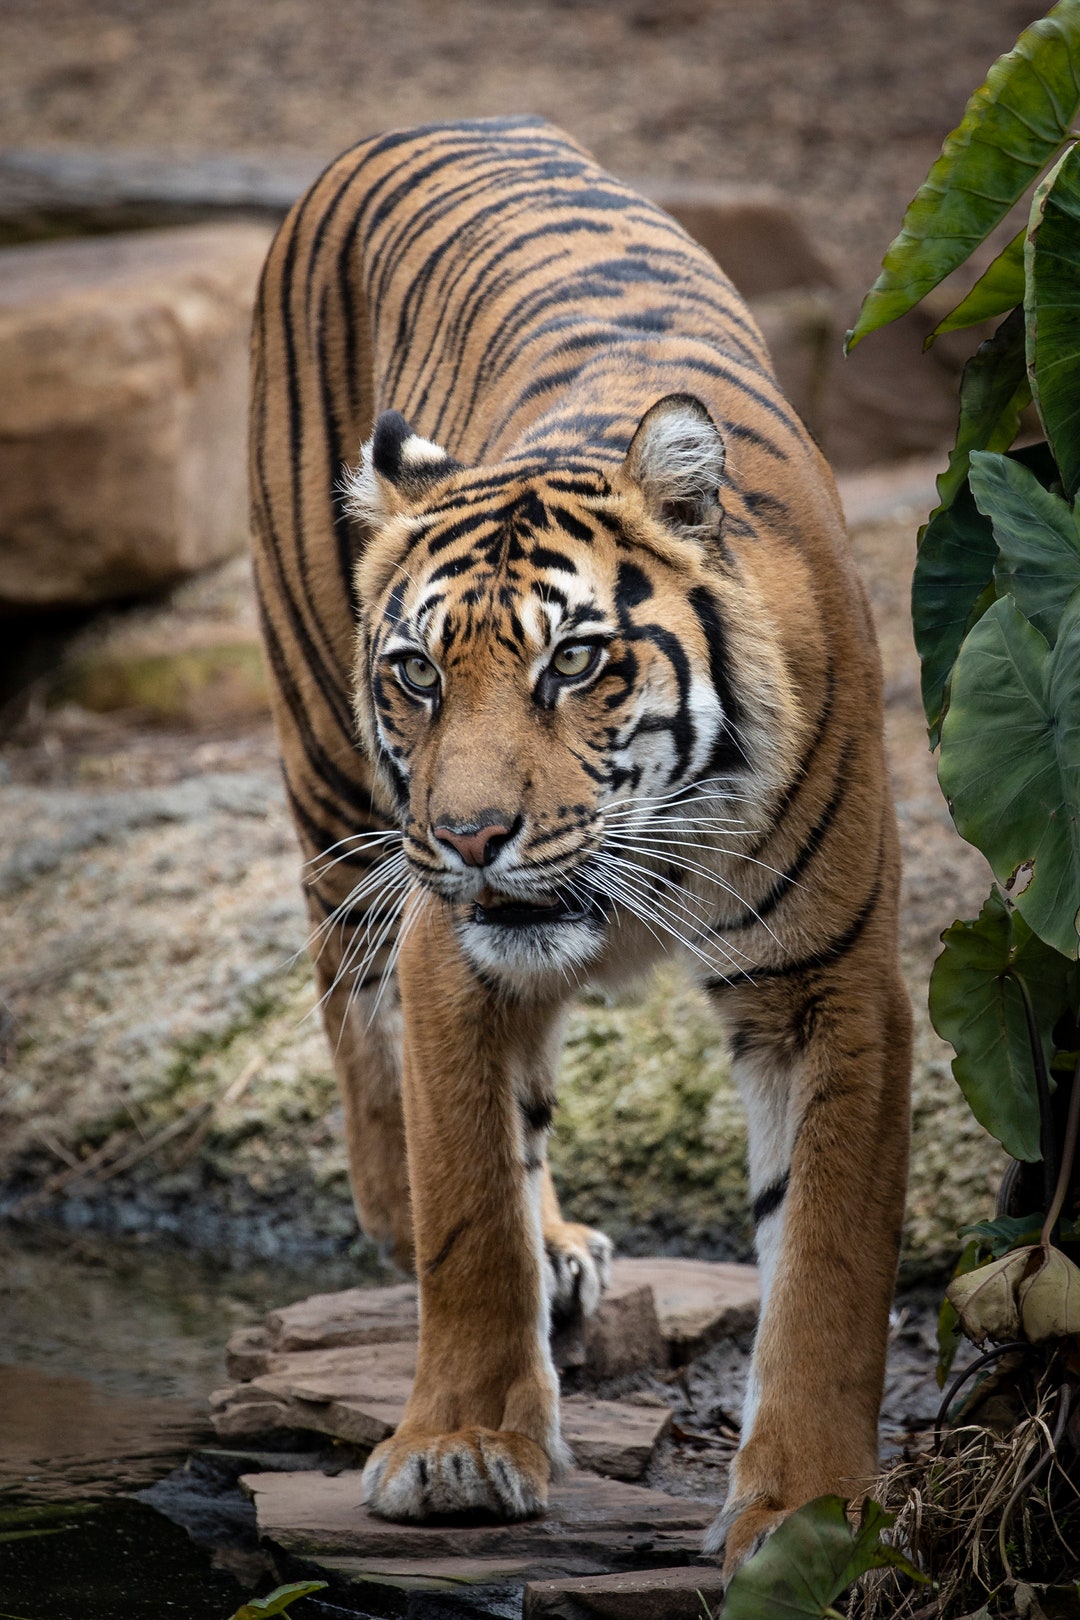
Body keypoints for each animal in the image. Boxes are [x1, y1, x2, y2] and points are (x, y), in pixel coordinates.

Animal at [248, 115, 911, 1576]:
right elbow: (468, 1211)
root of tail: (429, 118)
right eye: (419, 674)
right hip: (330, 775)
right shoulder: (449, 951)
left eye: (575, 661)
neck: (649, 852)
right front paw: (457, 1448)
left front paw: (806, 1514)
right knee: (355, 1017)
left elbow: (828, 1266)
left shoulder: (833, 987)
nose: (471, 835)